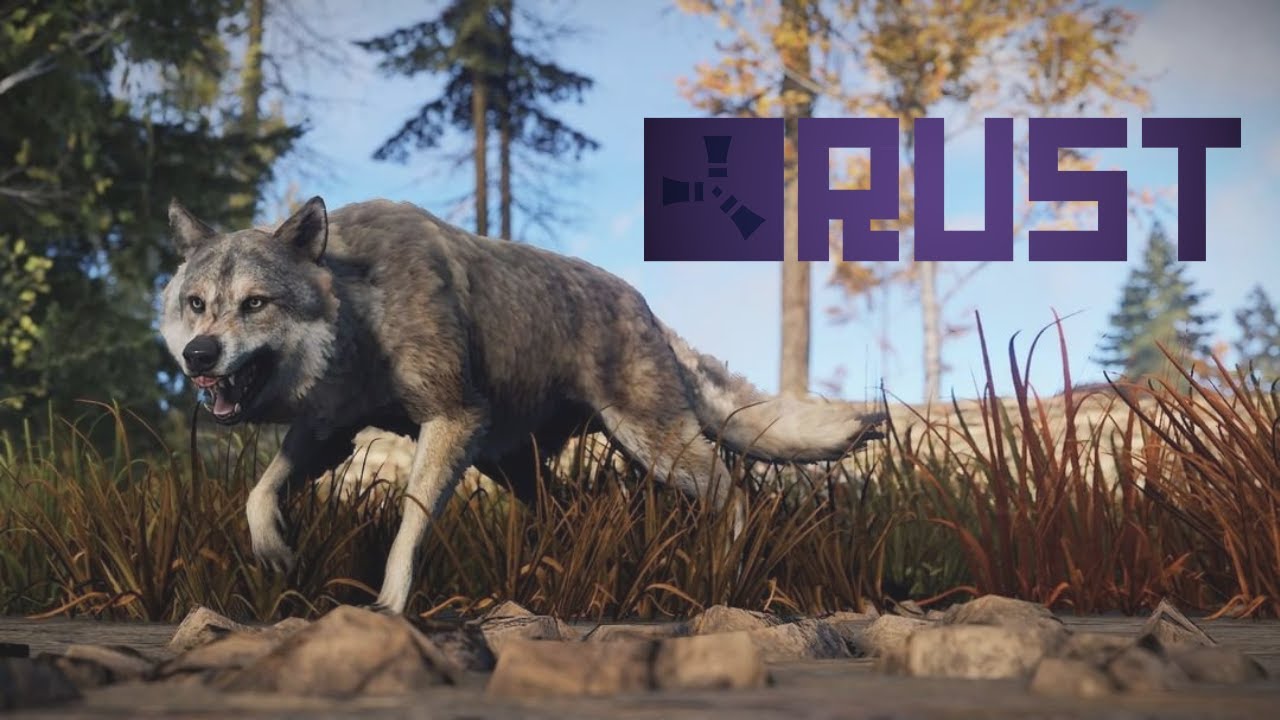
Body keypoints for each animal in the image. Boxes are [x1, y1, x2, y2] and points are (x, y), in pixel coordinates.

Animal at [159, 196, 884, 614]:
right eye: (196, 304)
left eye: (255, 303)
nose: (198, 355)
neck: (363, 315)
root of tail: (645, 306)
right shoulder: (328, 433)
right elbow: (257, 494)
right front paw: (275, 553)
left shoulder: (452, 421)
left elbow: (407, 528)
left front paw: (389, 607)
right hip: (516, 469)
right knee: (572, 513)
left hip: (652, 446)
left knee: (732, 491)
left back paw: (726, 568)